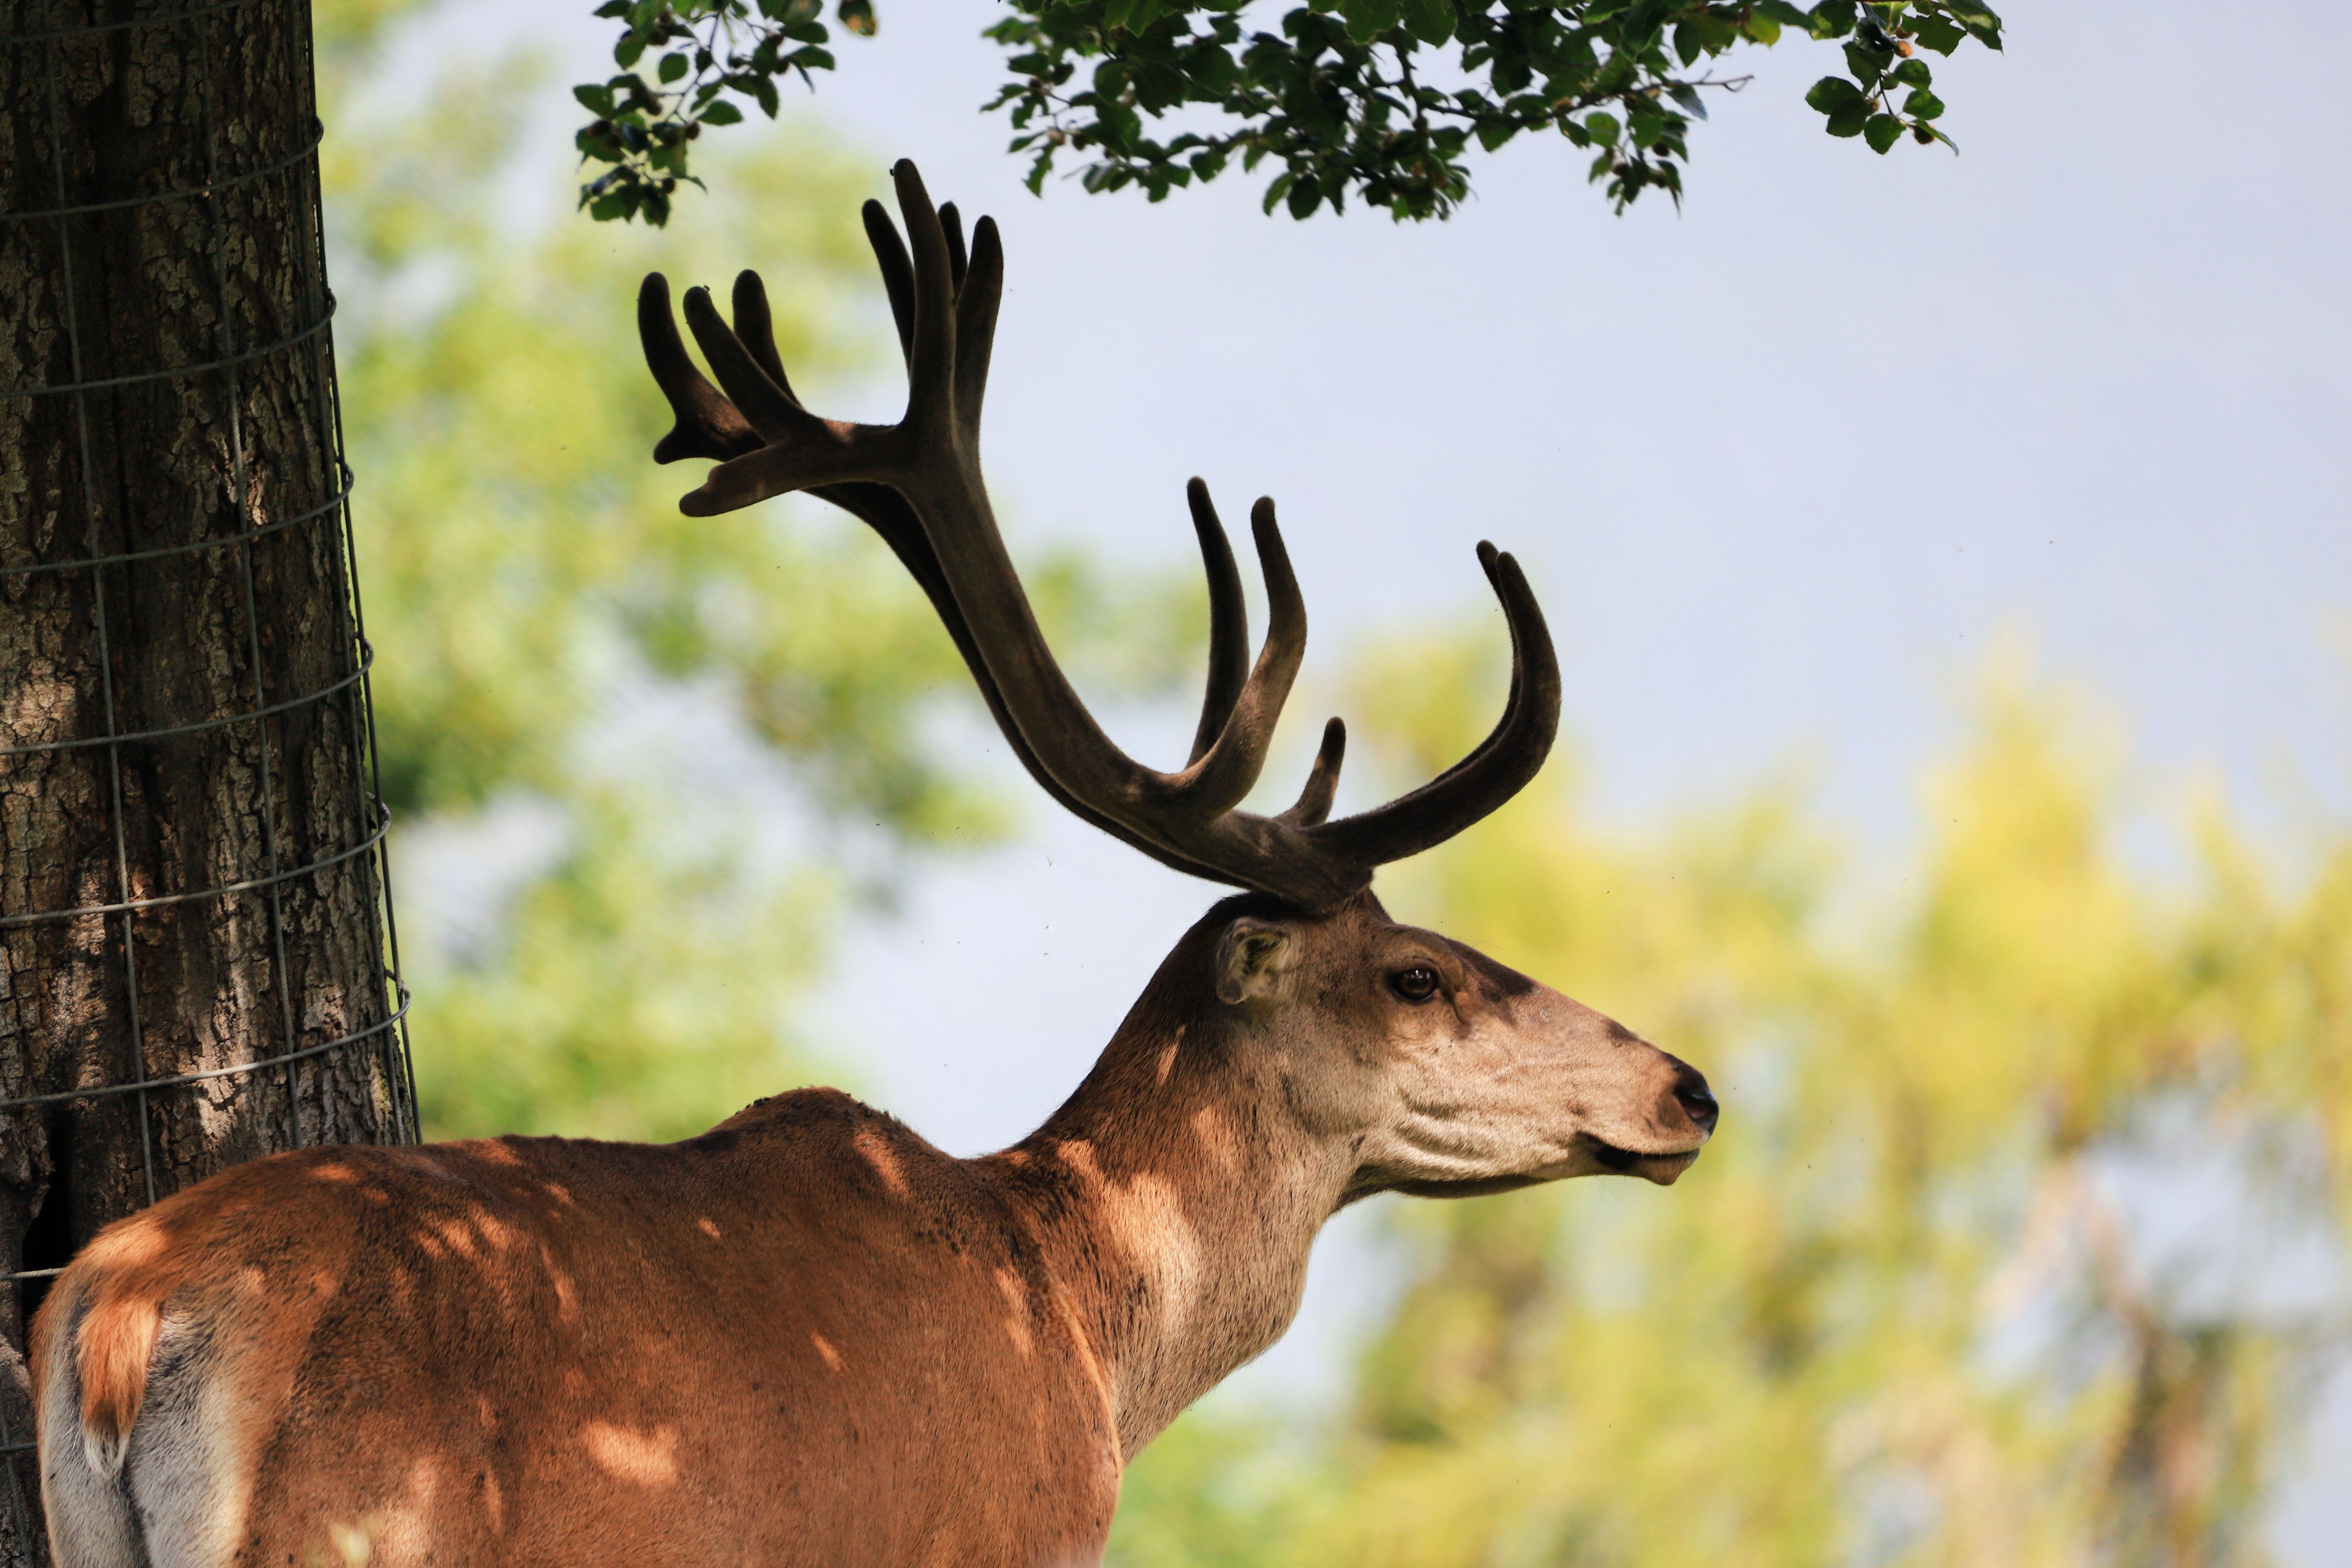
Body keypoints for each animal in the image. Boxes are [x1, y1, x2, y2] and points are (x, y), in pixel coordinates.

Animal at [29, 161, 1718, 1568]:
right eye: (1416, 971)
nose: (1688, 1087)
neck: (1081, 1329)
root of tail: (117, 1324)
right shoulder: (999, 1541)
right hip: (347, 1532)